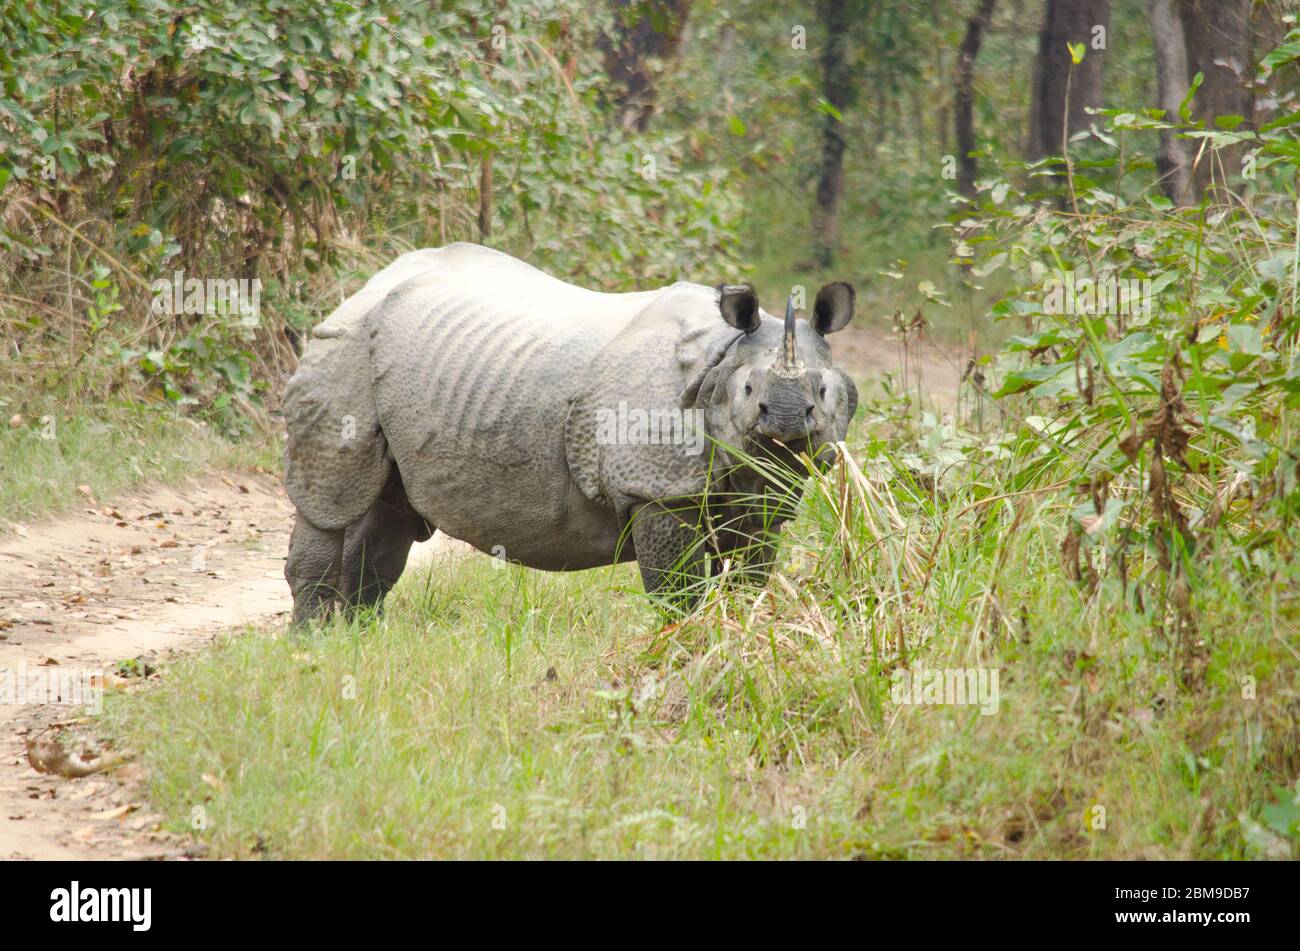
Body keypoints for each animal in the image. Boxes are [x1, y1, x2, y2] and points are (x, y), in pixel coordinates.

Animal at [283, 243, 857, 624]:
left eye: (824, 392)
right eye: (749, 391)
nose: (786, 420)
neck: (722, 357)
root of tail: (367, 286)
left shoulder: (767, 492)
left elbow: (750, 574)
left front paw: (738, 629)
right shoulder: (655, 490)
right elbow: (678, 590)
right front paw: (684, 640)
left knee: (388, 509)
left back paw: (357, 638)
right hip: (345, 345)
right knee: (331, 501)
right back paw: (315, 644)